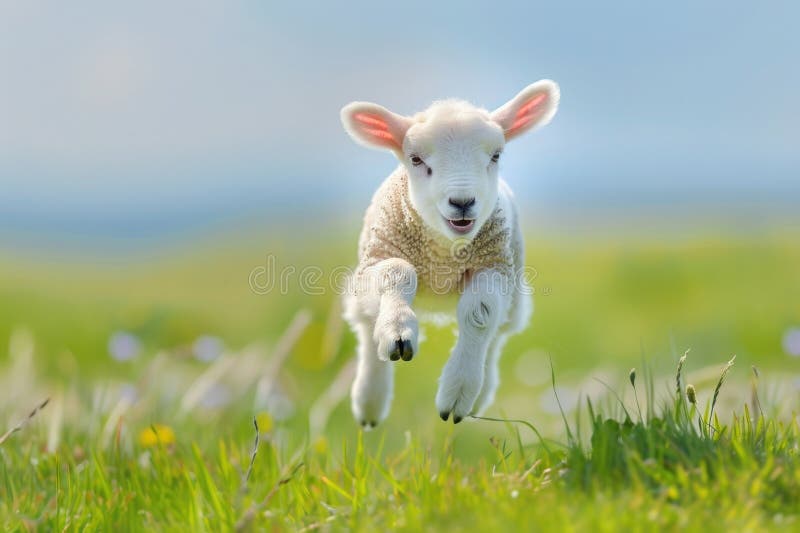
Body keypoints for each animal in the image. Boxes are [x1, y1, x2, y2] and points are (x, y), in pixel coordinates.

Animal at [340, 80, 560, 427]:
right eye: (415, 159)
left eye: (496, 155)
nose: (462, 202)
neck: (442, 252)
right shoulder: (381, 255)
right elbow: (397, 274)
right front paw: (398, 333)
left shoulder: (494, 268)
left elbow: (481, 313)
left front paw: (457, 395)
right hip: (362, 279)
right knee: (365, 322)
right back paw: (370, 401)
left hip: (514, 293)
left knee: (498, 334)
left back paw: (478, 397)